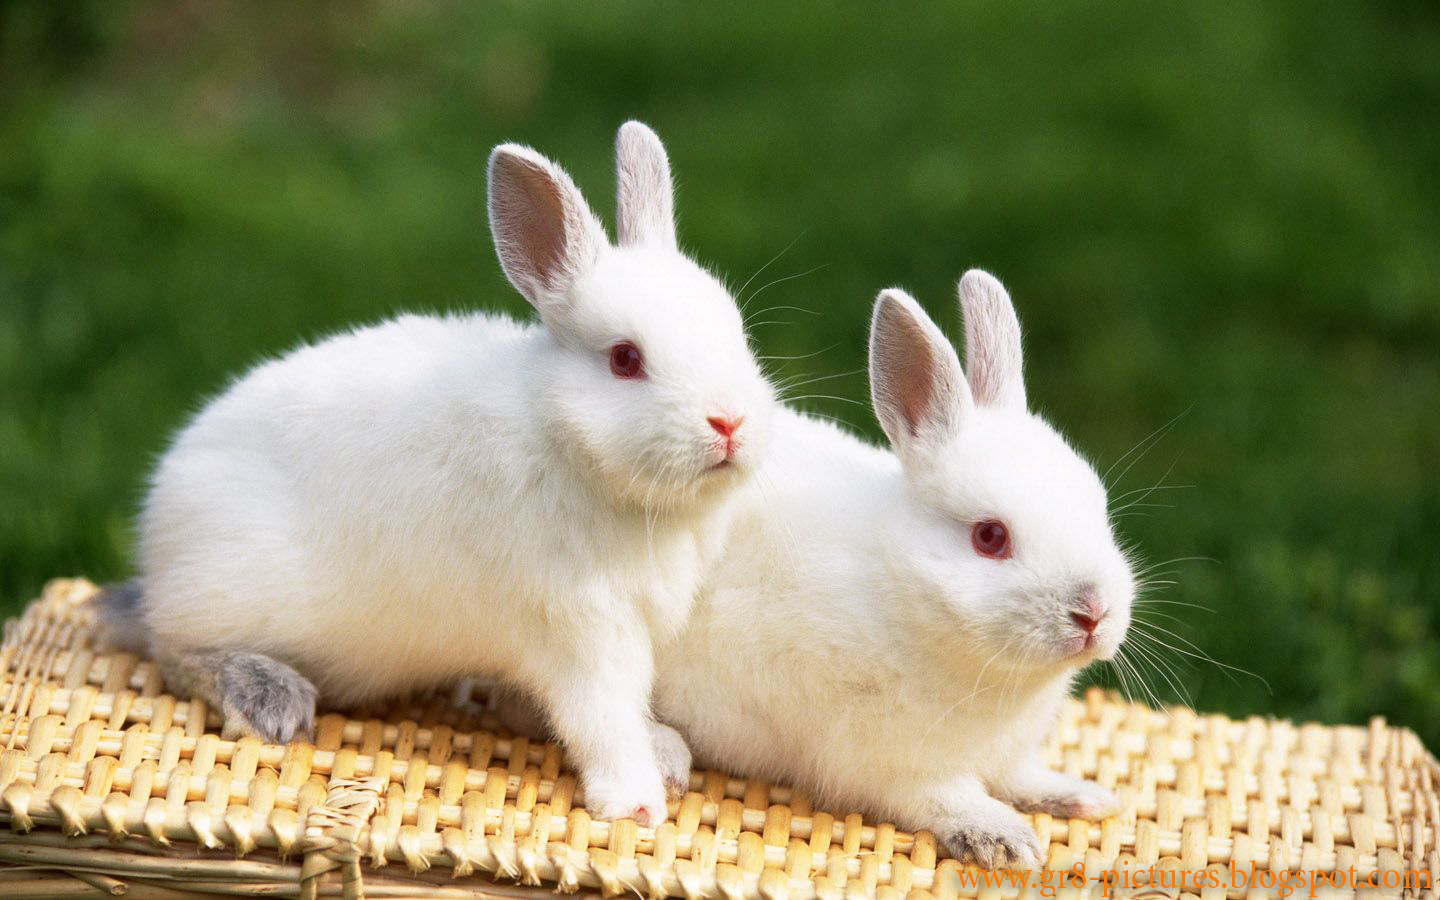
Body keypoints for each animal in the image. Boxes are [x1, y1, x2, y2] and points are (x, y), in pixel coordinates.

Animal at [108, 121, 776, 827]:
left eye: (737, 333)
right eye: (625, 359)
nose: (730, 423)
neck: (567, 443)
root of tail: (157, 533)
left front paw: (666, 751)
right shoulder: (582, 630)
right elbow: (603, 719)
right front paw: (636, 803)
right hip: (222, 595)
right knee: (171, 649)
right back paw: (269, 698)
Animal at [650, 271, 1134, 867]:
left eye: (1097, 504)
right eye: (990, 537)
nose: (1093, 612)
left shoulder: (1008, 755)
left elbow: (1021, 777)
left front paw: (1081, 797)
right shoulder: (884, 761)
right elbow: (943, 796)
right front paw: (1005, 840)